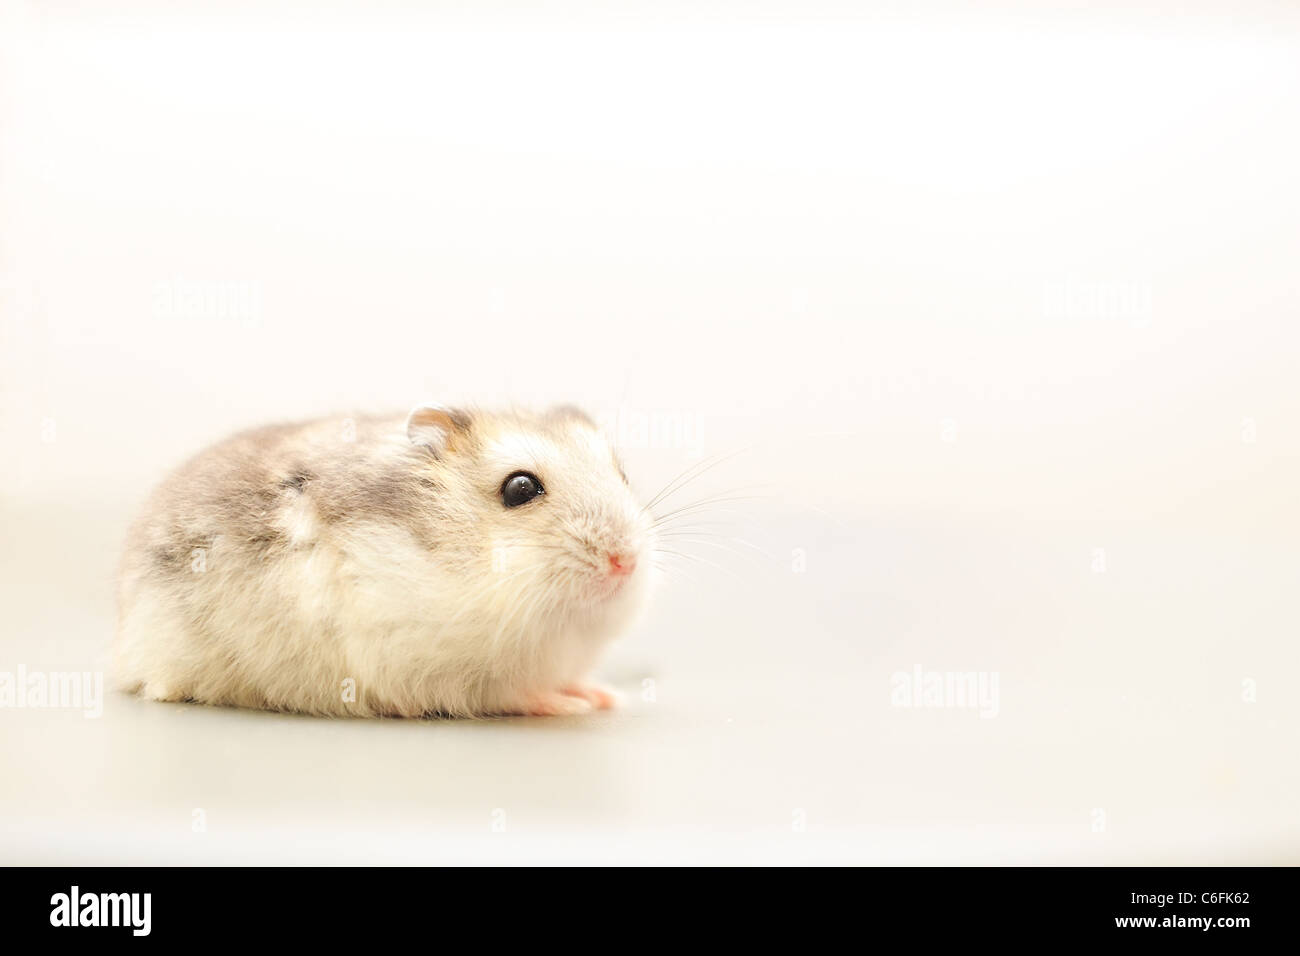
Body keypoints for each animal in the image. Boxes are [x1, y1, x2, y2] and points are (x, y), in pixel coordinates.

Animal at [113, 405, 656, 718]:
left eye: (623, 475)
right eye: (520, 489)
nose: (624, 561)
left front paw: (605, 695)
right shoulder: (426, 666)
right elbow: (514, 693)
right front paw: (575, 705)